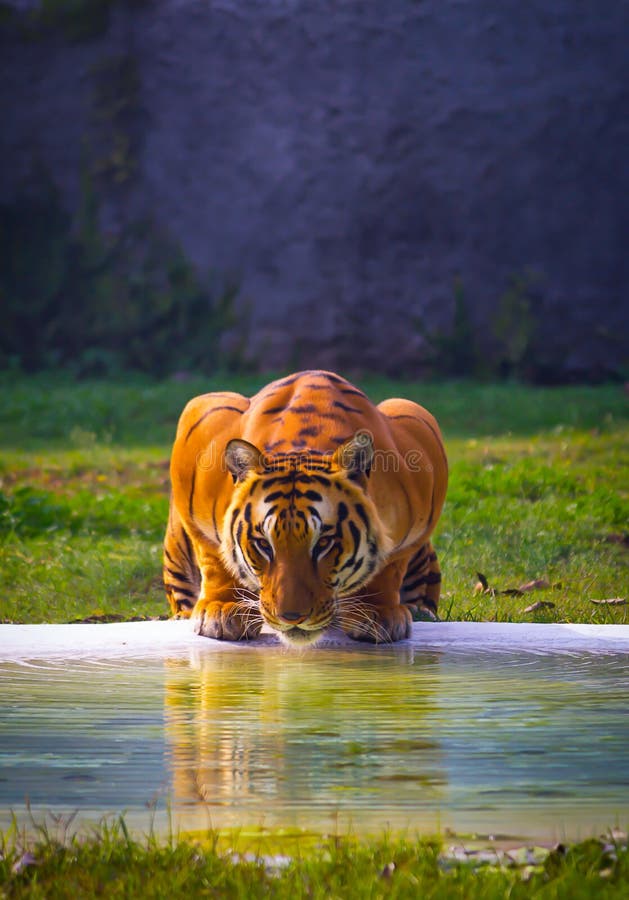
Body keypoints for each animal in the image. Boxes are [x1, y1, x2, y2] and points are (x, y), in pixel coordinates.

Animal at [163, 370, 447, 645]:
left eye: (324, 543)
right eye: (263, 544)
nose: (291, 617)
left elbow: (390, 564)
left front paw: (377, 613)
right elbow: (214, 556)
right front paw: (223, 610)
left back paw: (420, 611)